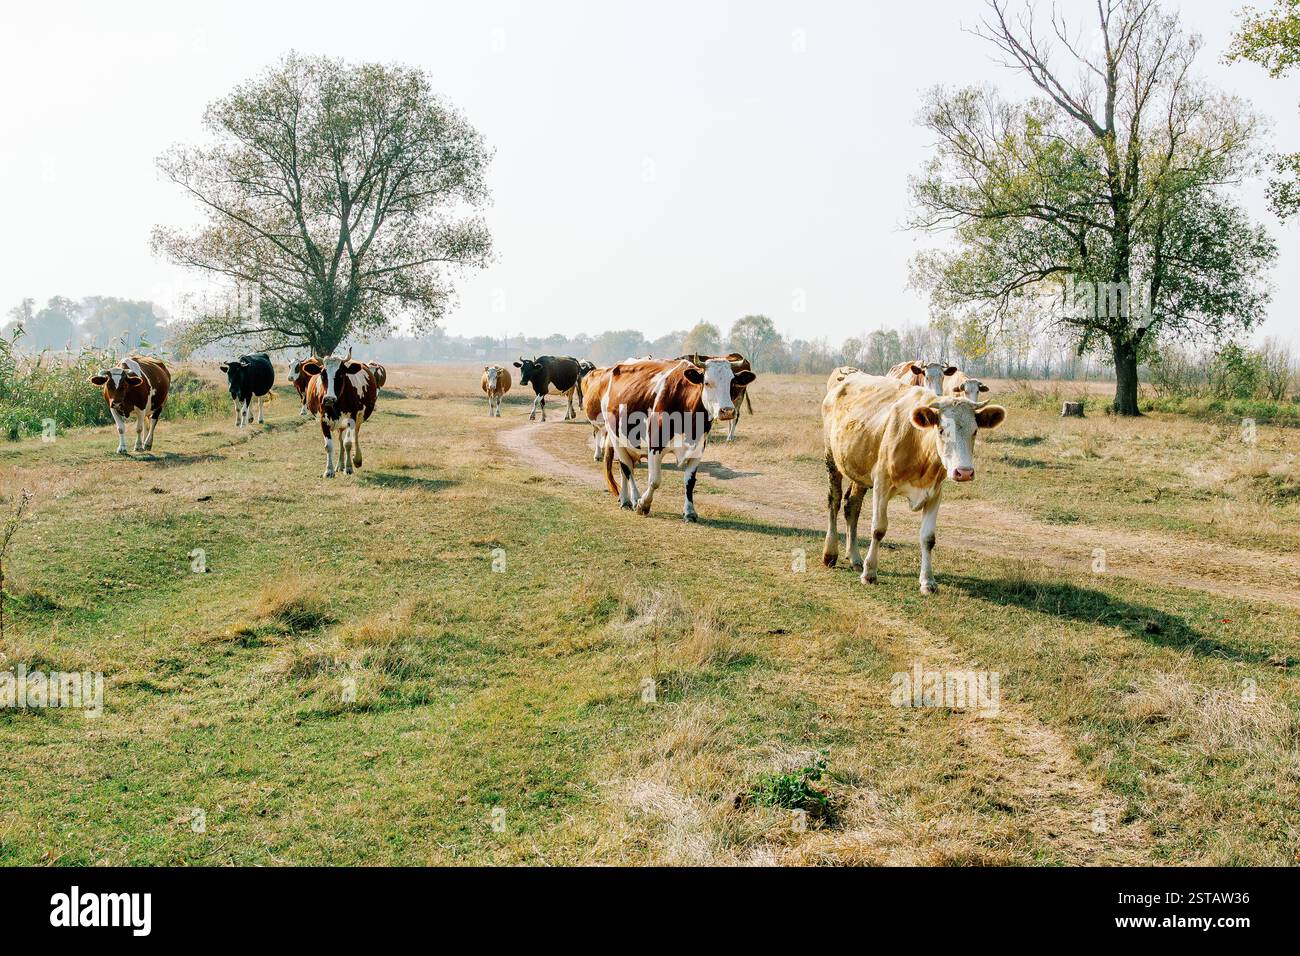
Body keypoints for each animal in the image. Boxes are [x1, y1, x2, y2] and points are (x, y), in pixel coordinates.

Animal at [302, 349, 379, 478]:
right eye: (322, 374)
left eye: (341, 374)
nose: (329, 399)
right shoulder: (323, 420)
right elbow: (329, 445)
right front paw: (329, 470)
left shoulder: (351, 419)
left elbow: (348, 443)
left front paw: (348, 468)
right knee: (340, 440)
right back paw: (339, 465)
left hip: (358, 418)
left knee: (354, 436)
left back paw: (356, 460)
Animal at [600, 357, 756, 521]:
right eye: (707, 382)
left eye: (732, 383)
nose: (727, 411)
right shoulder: (655, 446)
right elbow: (654, 480)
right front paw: (643, 505)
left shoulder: (698, 448)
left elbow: (690, 482)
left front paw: (689, 512)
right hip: (616, 438)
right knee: (627, 468)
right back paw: (634, 499)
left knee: (624, 468)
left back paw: (625, 500)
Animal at [822, 373, 1005, 594]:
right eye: (941, 430)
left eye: (975, 431)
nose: (964, 472)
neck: (920, 447)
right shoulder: (881, 484)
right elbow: (878, 529)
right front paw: (870, 573)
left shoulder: (935, 492)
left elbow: (928, 538)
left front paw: (927, 581)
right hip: (832, 458)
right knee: (834, 501)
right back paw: (831, 553)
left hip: (860, 471)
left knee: (852, 506)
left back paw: (855, 557)